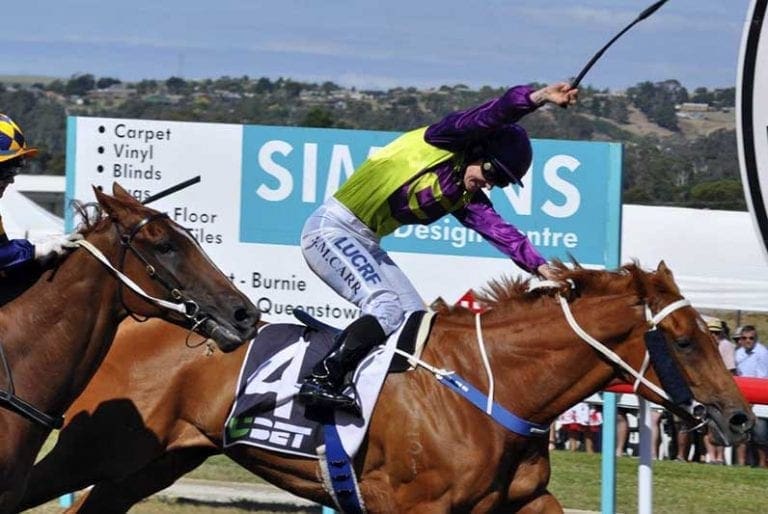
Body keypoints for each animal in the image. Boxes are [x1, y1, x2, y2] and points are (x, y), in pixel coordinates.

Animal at [21, 262, 753, 513]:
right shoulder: (410, 506)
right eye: (684, 339)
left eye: (707, 333)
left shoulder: (521, 502)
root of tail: (129, 313)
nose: (741, 418)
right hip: (93, 448)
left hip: (149, 463)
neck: (495, 386)